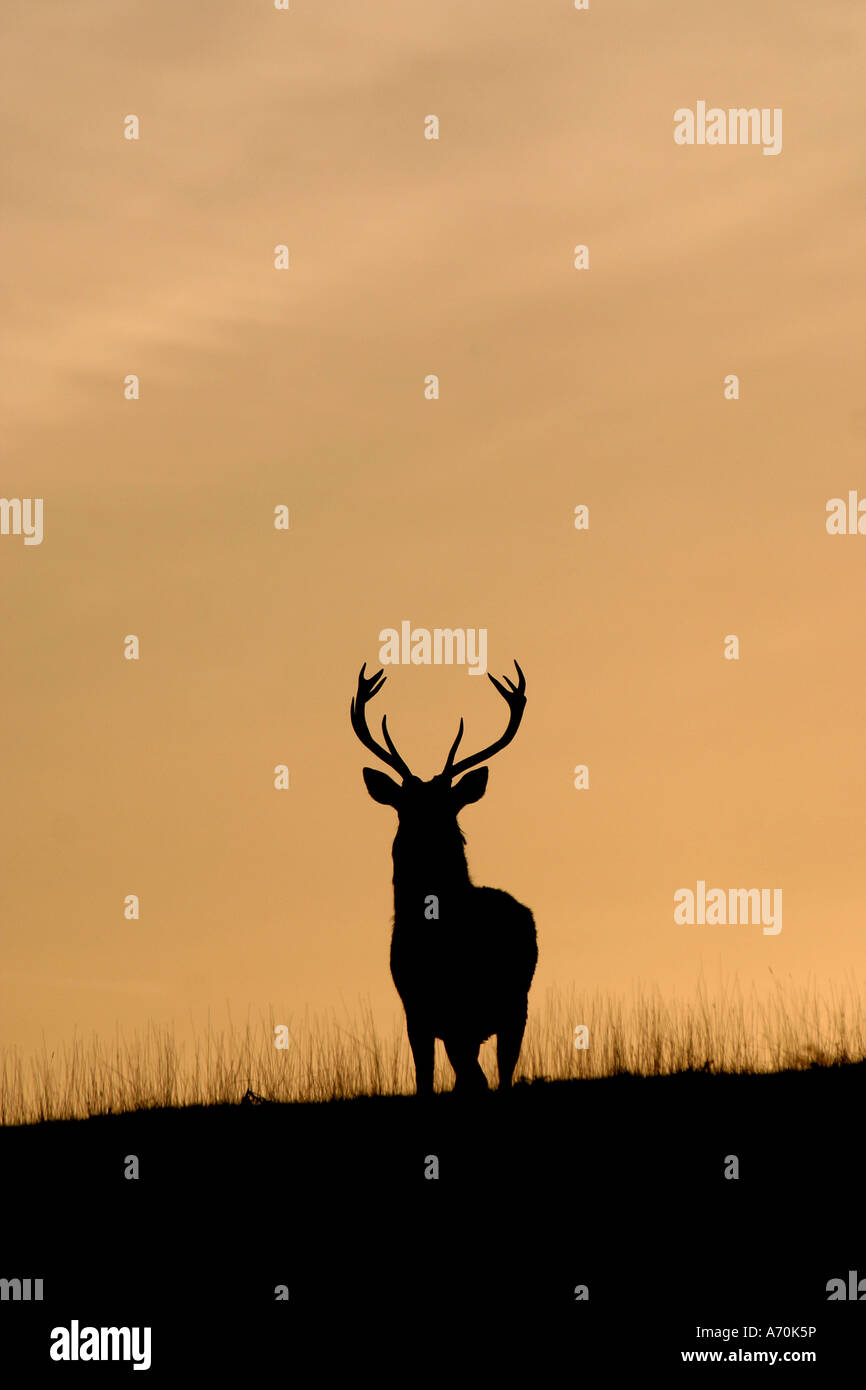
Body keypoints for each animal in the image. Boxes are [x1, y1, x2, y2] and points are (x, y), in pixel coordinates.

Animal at [351, 660, 538, 1096]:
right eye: (404, 805)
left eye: (446, 806)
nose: (423, 836)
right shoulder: (416, 1011)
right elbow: (427, 1081)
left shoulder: (463, 1015)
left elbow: (477, 1080)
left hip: (515, 1005)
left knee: (502, 1074)